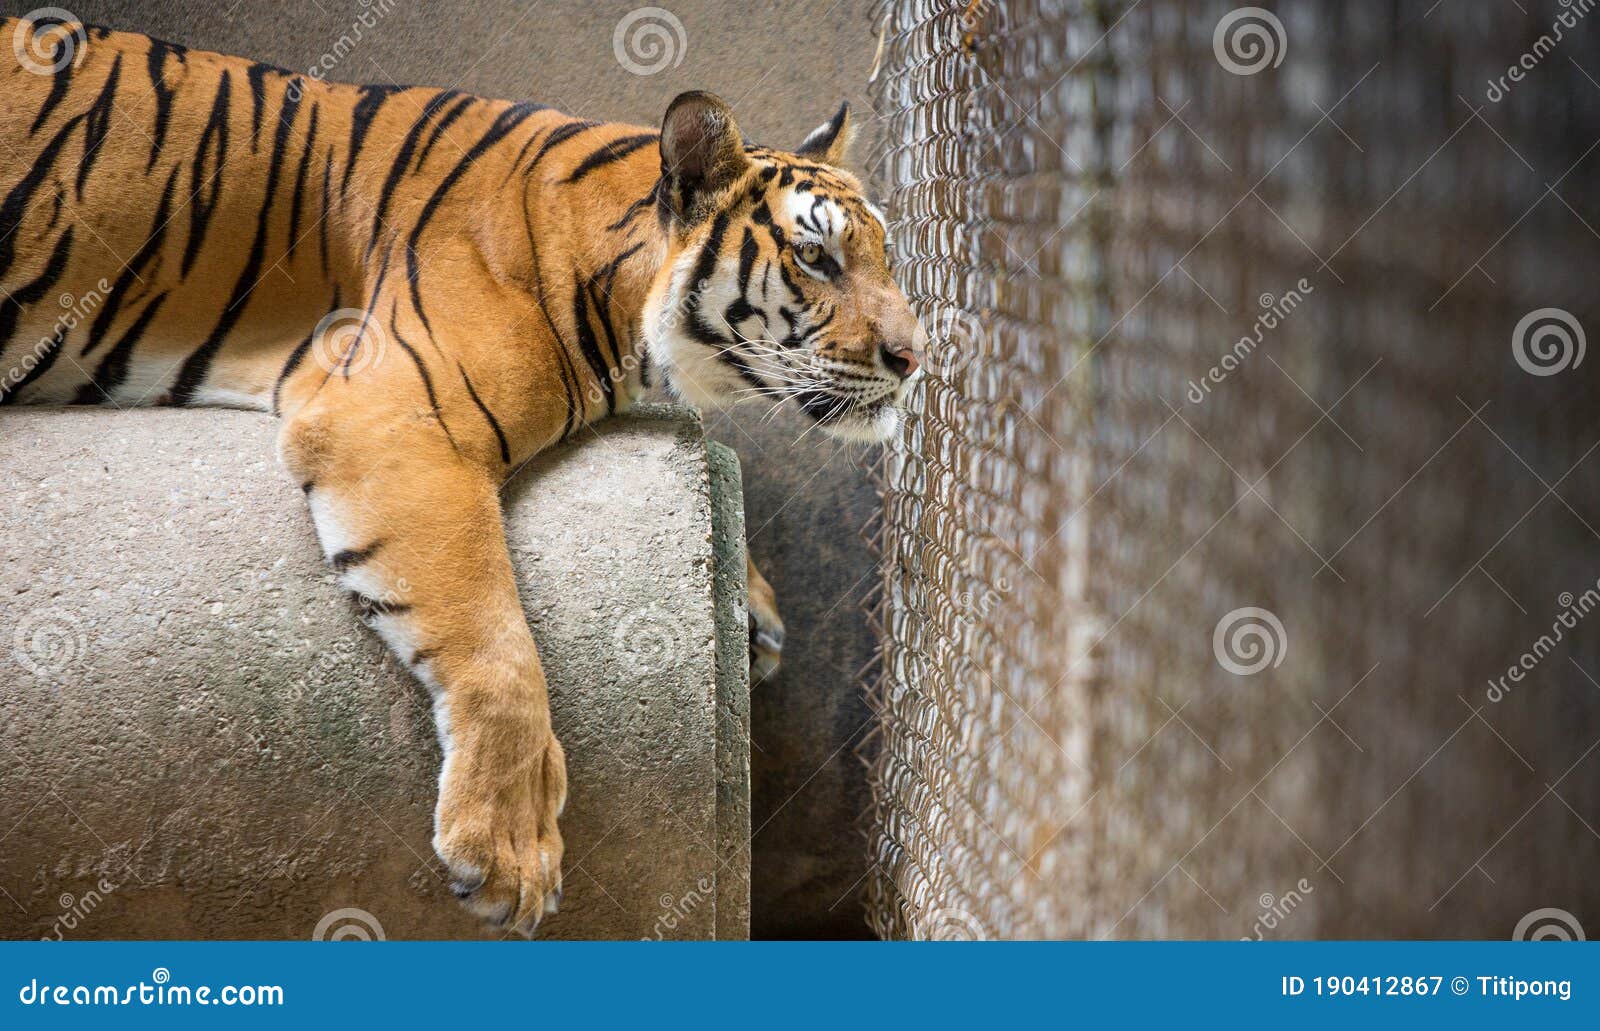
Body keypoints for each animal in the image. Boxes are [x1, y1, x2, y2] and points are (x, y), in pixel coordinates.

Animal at [0, 15, 921, 936]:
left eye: (885, 254)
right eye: (816, 257)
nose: (916, 357)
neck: (620, 302)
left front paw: (755, 604)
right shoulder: (395, 416)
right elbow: (496, 640)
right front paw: (507, 850)